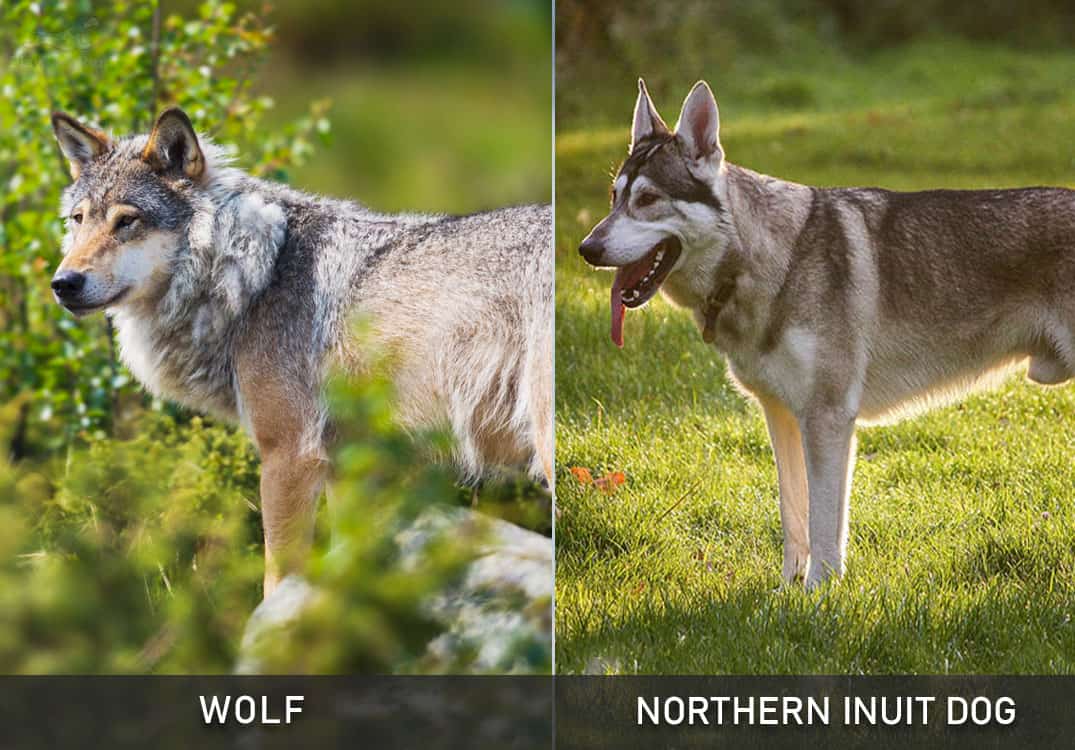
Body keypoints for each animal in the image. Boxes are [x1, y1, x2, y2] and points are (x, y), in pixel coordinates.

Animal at [50, 107, 553, 596]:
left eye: (126, 221)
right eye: (78, 220)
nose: (63, 283)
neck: (249, 272)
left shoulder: (289, 456)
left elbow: (277, 578)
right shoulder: (348, 467)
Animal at [579, 79, 1075, 589]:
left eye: (647, 200)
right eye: (614, 198)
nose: (586, 248)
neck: (772, 261)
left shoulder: (828, 418)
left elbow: (822, 525)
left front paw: (820, 593)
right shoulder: (782, 416)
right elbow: (795, 517)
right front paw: (787, 593)